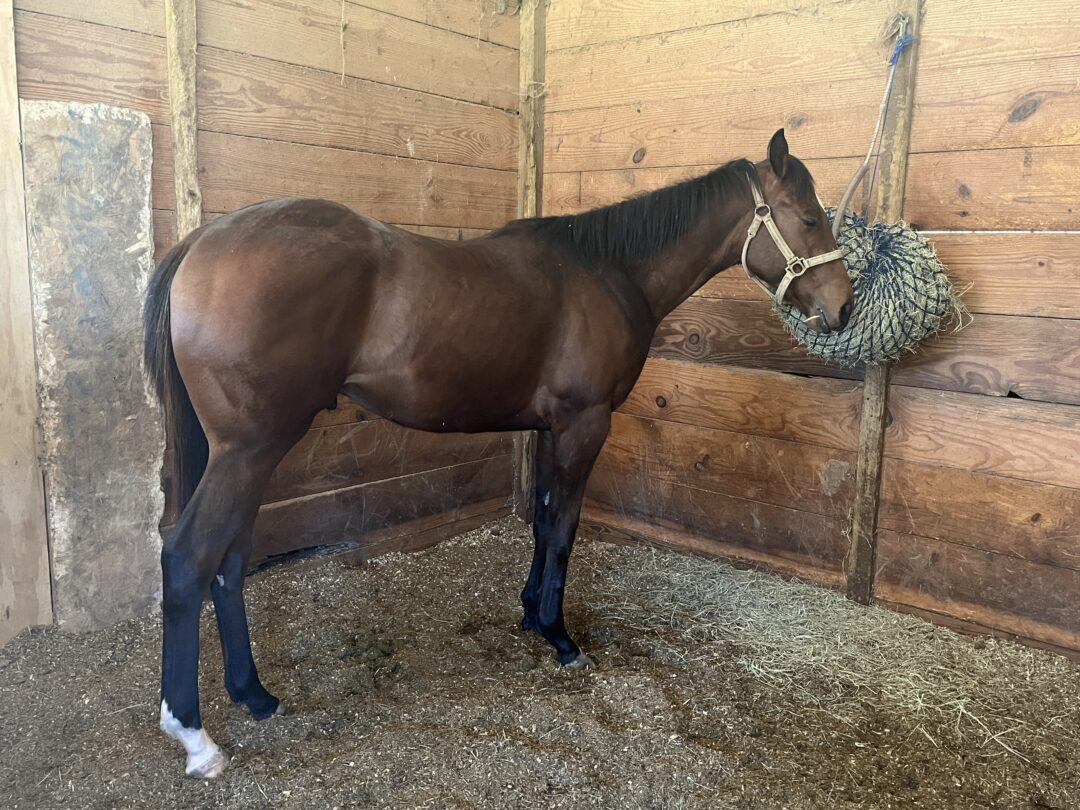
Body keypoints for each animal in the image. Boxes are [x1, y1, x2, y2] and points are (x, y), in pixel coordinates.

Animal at [143, 128, 853, 778]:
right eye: (810, 218)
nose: (843, 308)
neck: (606, 271)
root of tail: (202, 242)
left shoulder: (548, 429)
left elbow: (540, 520)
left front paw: (531, 614)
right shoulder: (583, 425)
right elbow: (564, 528)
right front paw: (561, 637)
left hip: (243, 455)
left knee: (230, 562)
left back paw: (254, 694)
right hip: (248, 450)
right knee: (188, 559)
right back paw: (195, 737)